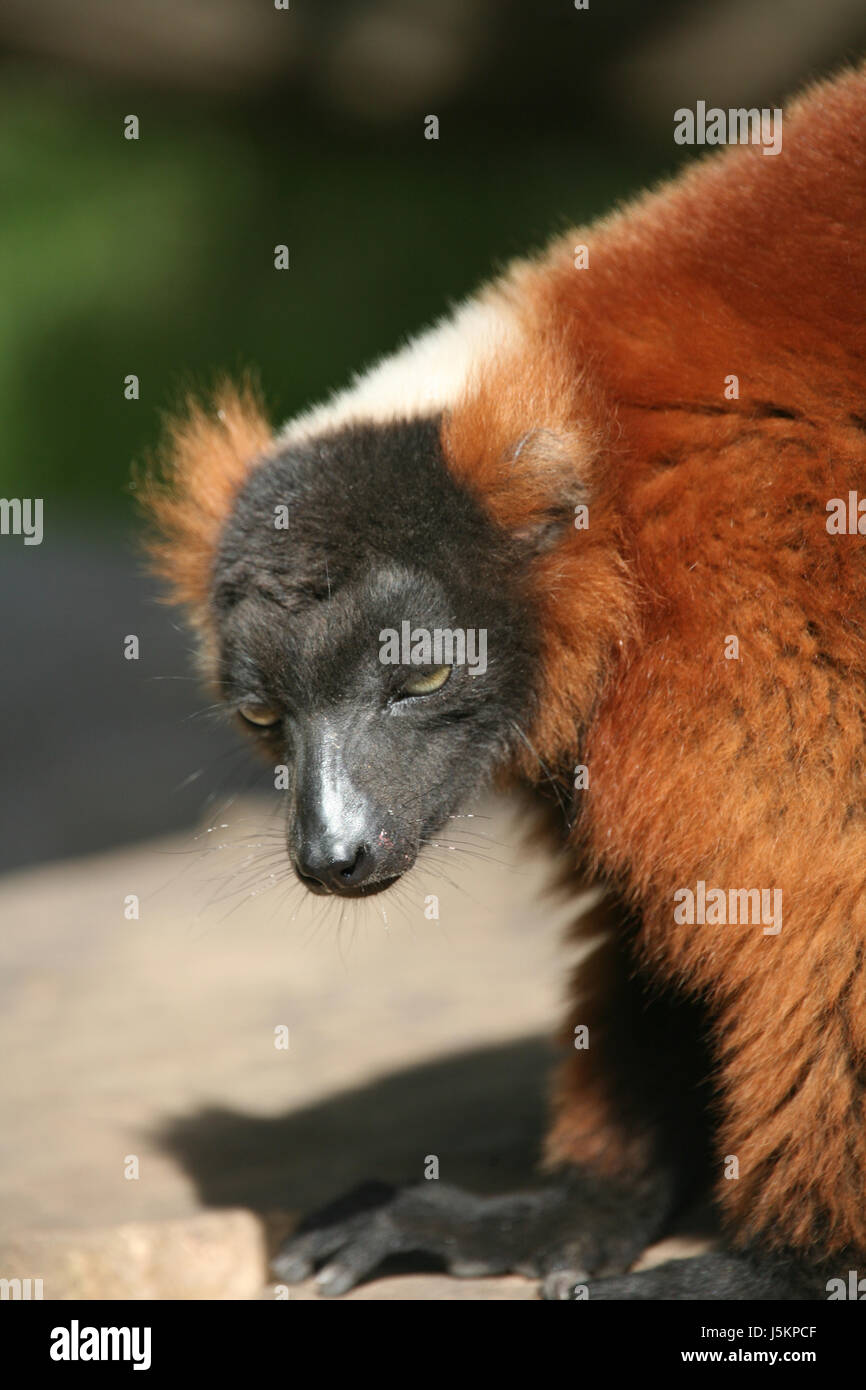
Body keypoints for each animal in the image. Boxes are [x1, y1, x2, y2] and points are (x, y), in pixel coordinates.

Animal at [143, 64, 866, 1299]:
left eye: (422, 678)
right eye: (263, 715)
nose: (332, 854)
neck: (615, 516)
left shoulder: (757, 583)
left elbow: (824, 883)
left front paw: (786, 1267)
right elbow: (665, 911)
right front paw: (562, 1210)